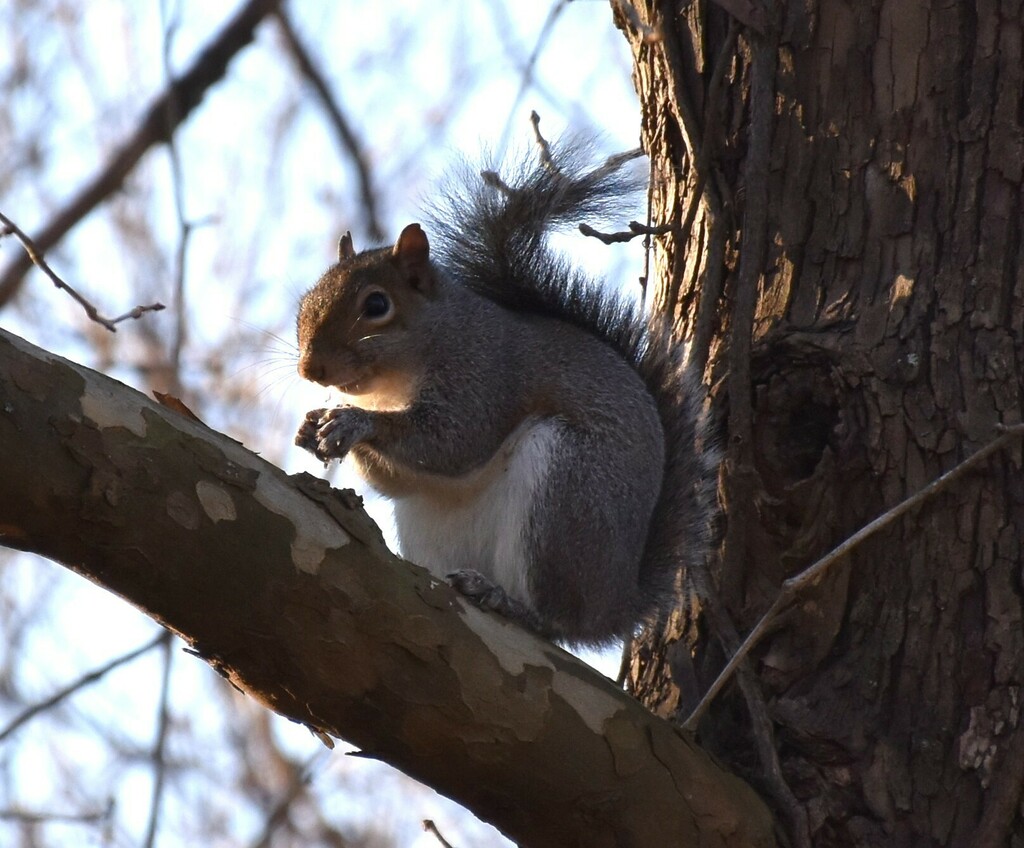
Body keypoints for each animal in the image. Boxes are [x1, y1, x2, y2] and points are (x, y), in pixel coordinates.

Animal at [294, 139, 716, 647]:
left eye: (377, 304)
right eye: (309, 297)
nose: (310, 368)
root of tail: (614, 606)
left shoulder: (485, 376)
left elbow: (453, 442)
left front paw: (354, 423)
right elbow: (396, 480)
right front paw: (315, 425)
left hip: (565, 496)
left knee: (556, 620)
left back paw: (507, 602)